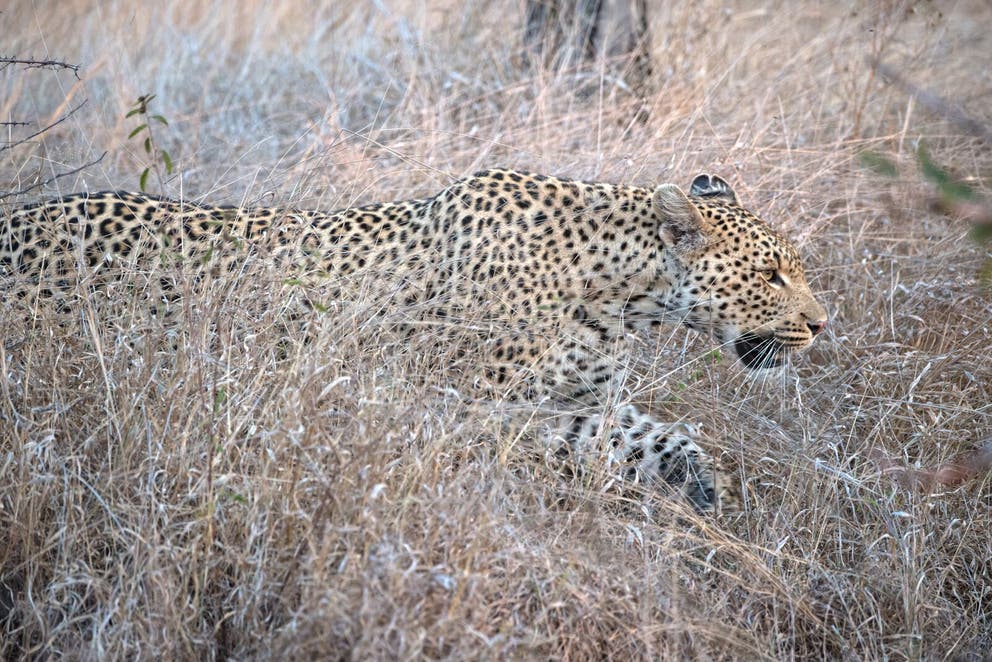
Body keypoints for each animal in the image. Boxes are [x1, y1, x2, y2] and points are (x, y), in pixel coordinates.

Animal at [0, 168, 827, 513]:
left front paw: (702, 486)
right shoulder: (461, 408)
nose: (821, 325)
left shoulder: (573, 405)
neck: (624, 295)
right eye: (772, 273)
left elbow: (660, 435)